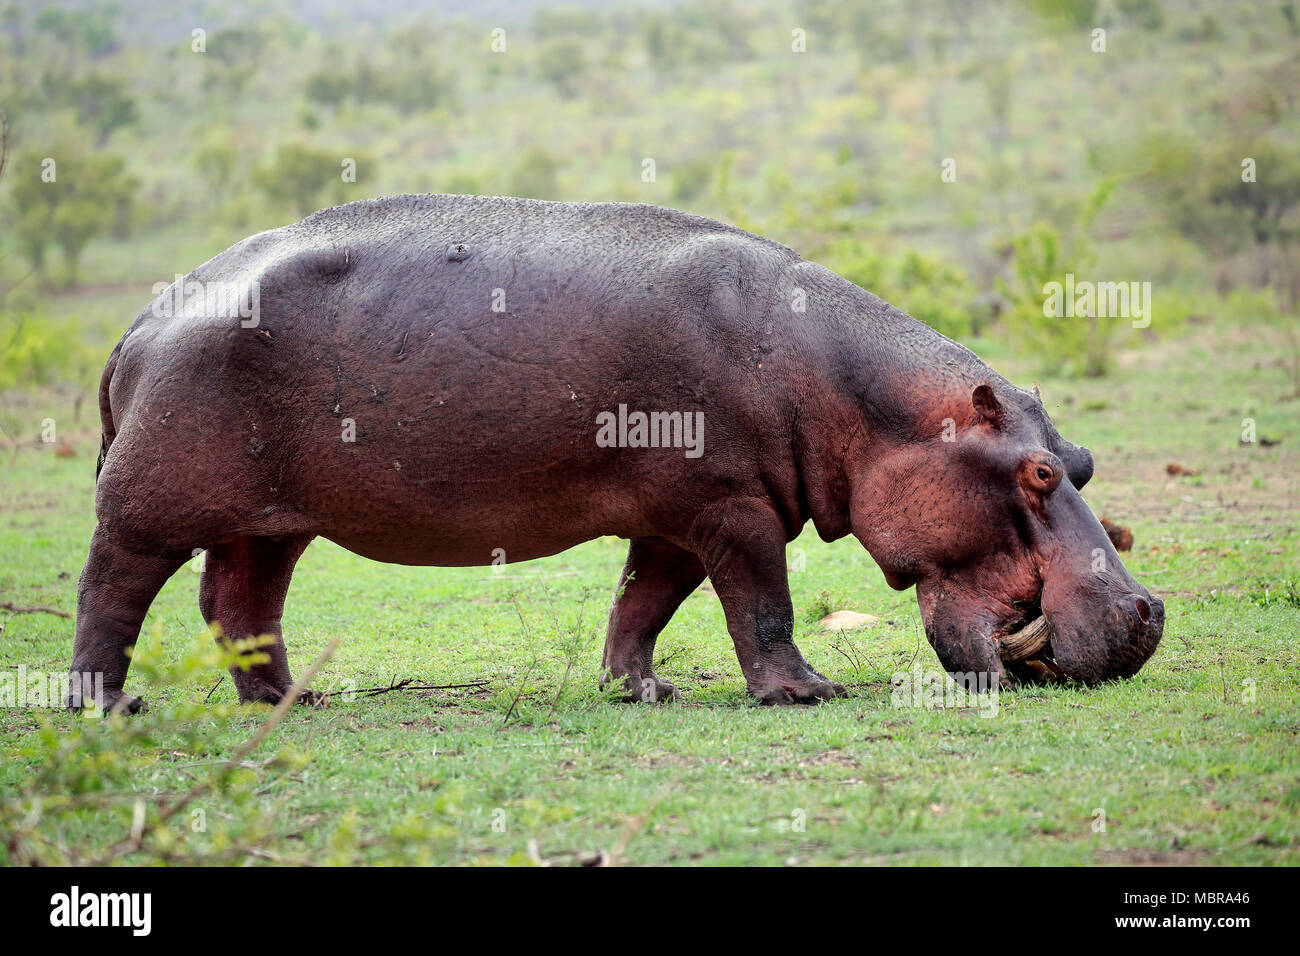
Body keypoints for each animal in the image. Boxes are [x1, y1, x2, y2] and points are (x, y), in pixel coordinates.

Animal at [68, 194, 1164, 713]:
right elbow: (762, 599)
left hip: (277, 518)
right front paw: (806, 693)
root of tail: (138, 324)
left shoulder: (677, 517)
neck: (863, 398)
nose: (1143, 616)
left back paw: (295, 699)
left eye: (1083, 459)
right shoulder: (735, 507)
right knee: (113, 588)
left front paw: (638, 689)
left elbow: (644, 603)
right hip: (153, 503)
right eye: (1035, 472)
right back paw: (110, 707)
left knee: (239, 603)